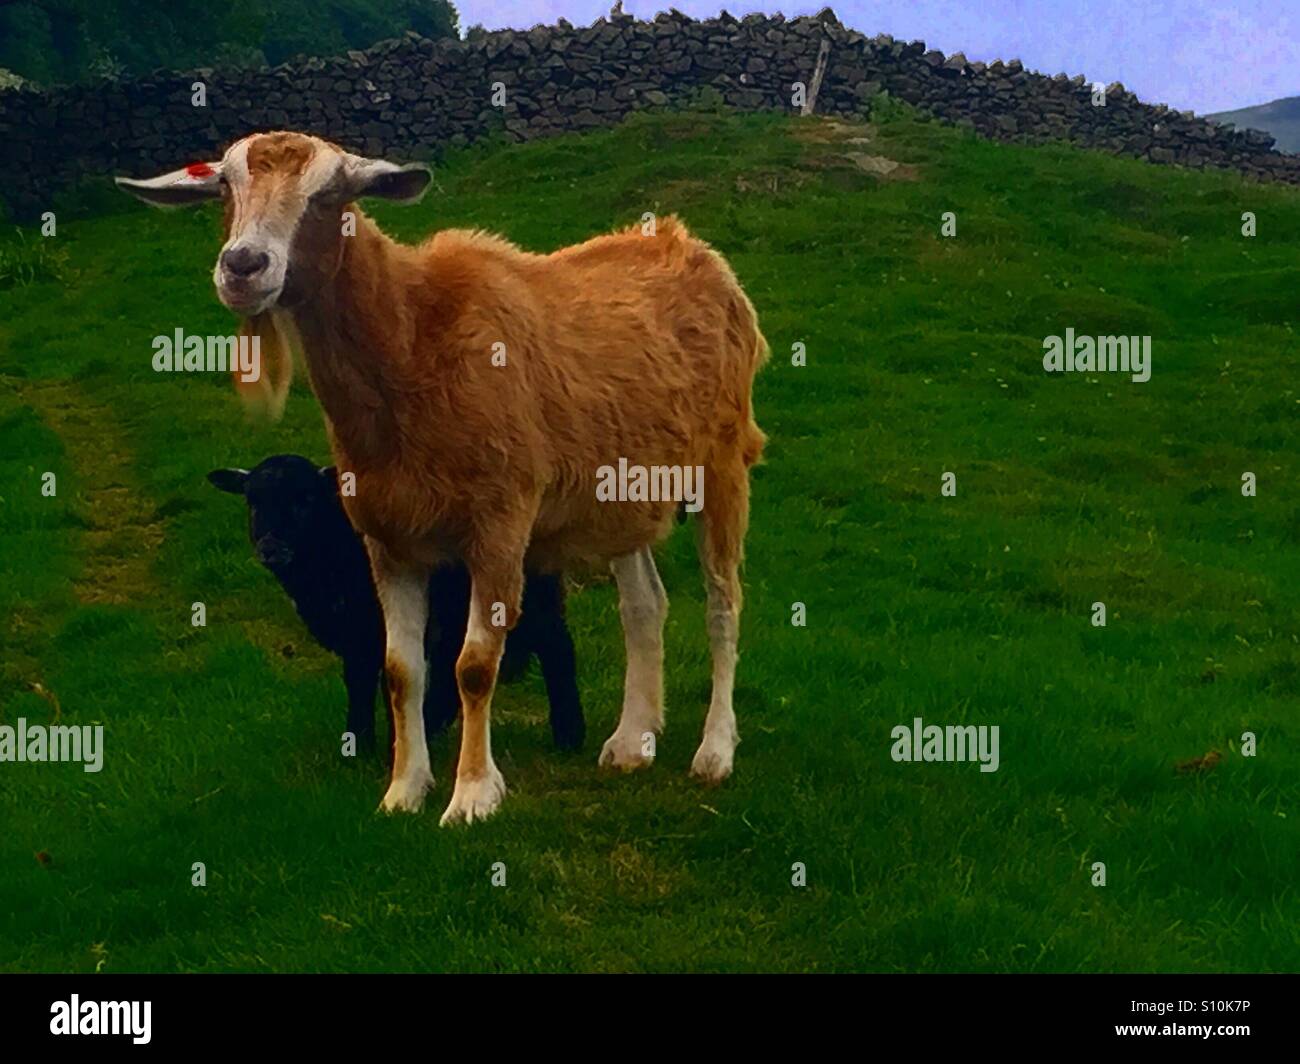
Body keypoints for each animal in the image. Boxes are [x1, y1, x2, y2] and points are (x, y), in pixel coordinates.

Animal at [207, 454, 585, 754]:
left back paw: (569, 736)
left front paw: (391, 749)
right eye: (252, 501)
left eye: (306, 499)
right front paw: (359, 747)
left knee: (557, 649)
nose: (271, 547)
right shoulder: (354, 635)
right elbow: (358, 681)